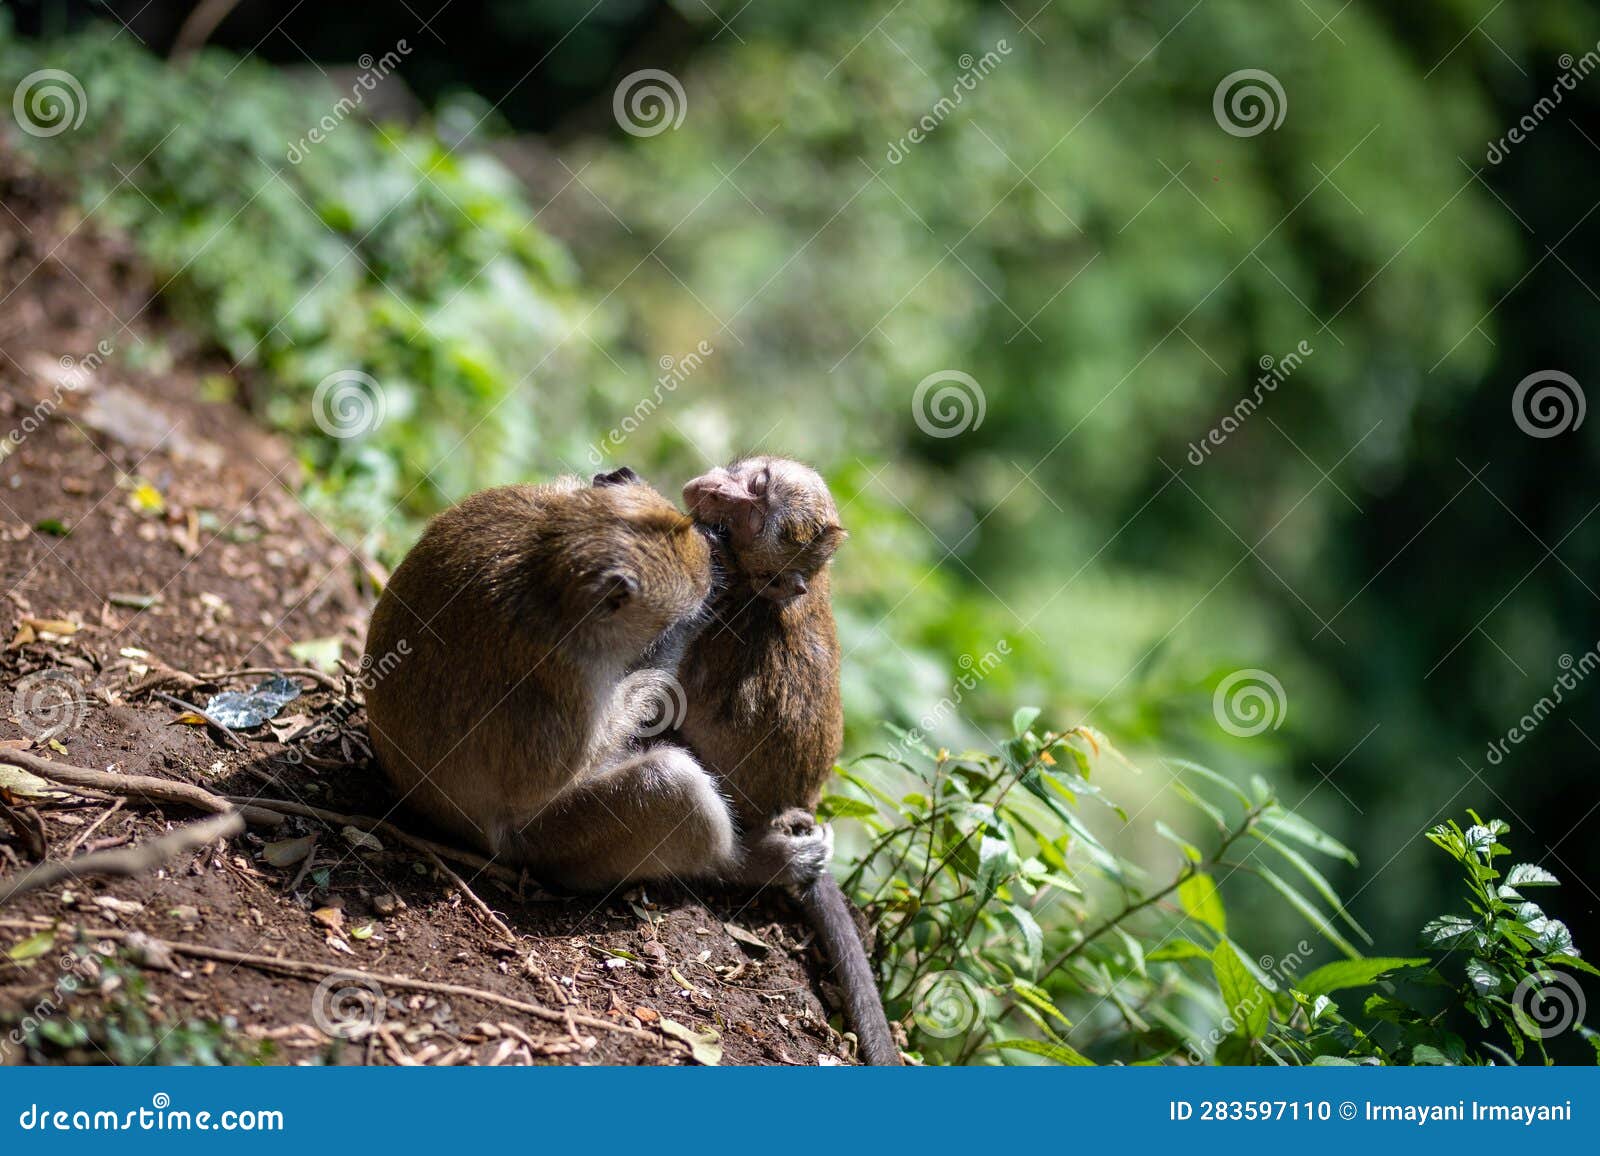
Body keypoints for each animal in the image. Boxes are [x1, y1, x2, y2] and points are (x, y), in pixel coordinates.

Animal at [363, 475, 745, 892]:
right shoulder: (568, 674)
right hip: (544, 846)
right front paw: (683, 633)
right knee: (671, 782)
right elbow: (546, 780)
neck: (550, 560)